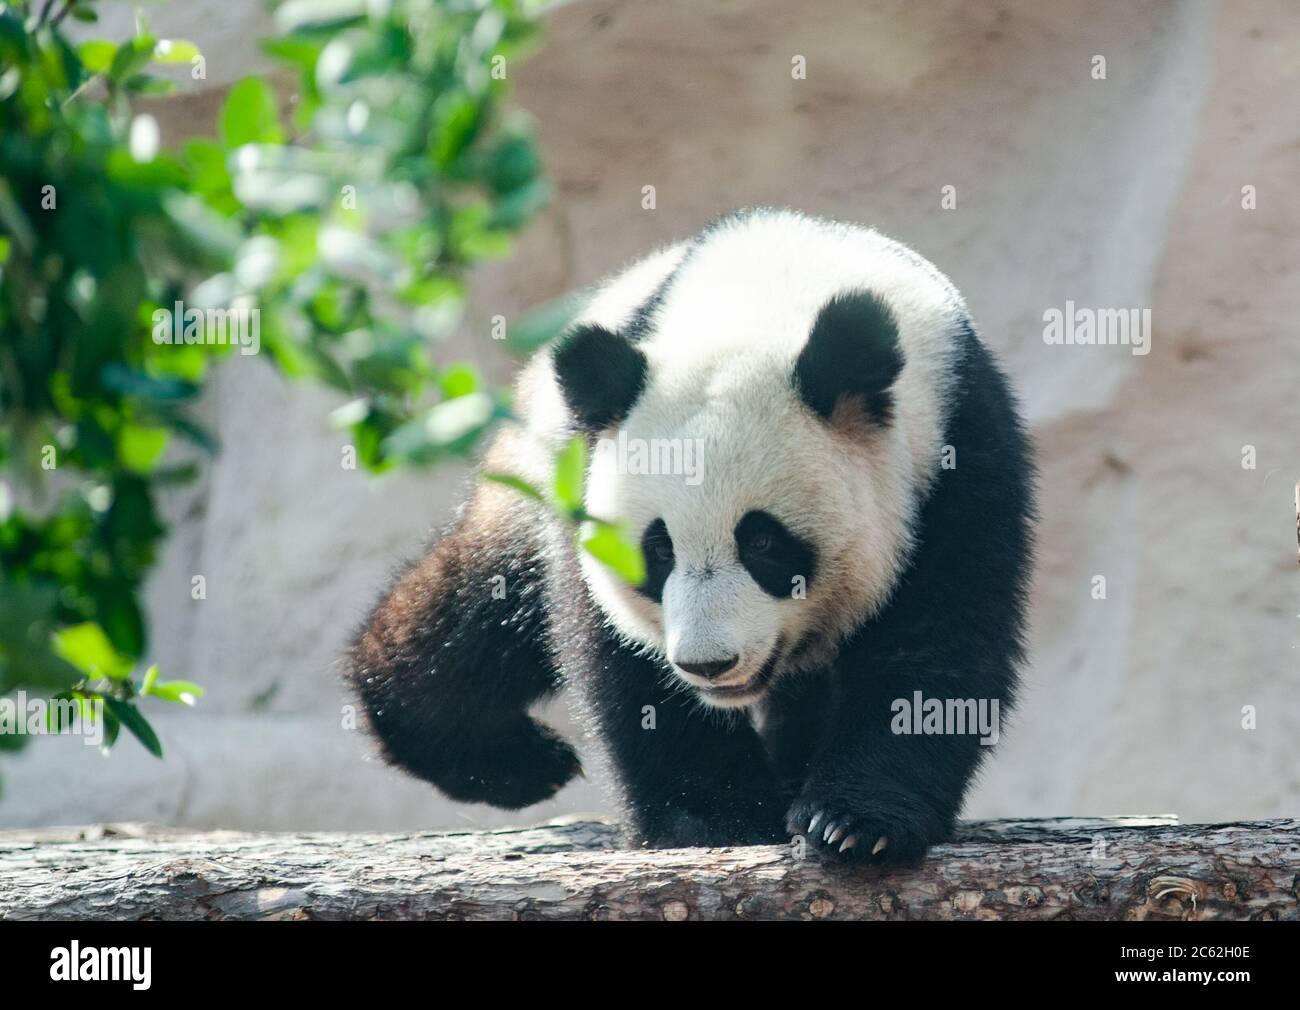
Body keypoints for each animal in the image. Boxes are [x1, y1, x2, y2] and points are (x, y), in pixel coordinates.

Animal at [348, 208, 1035, 864]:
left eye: (763, 543)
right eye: (657, 550)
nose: (708, 664)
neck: (770, 291)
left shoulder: (959, 447)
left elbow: (939, 637)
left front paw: (853, 825)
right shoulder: (589, 471)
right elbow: (625, 663)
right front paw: (719, 820)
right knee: (481, 610)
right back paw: (509, 758)